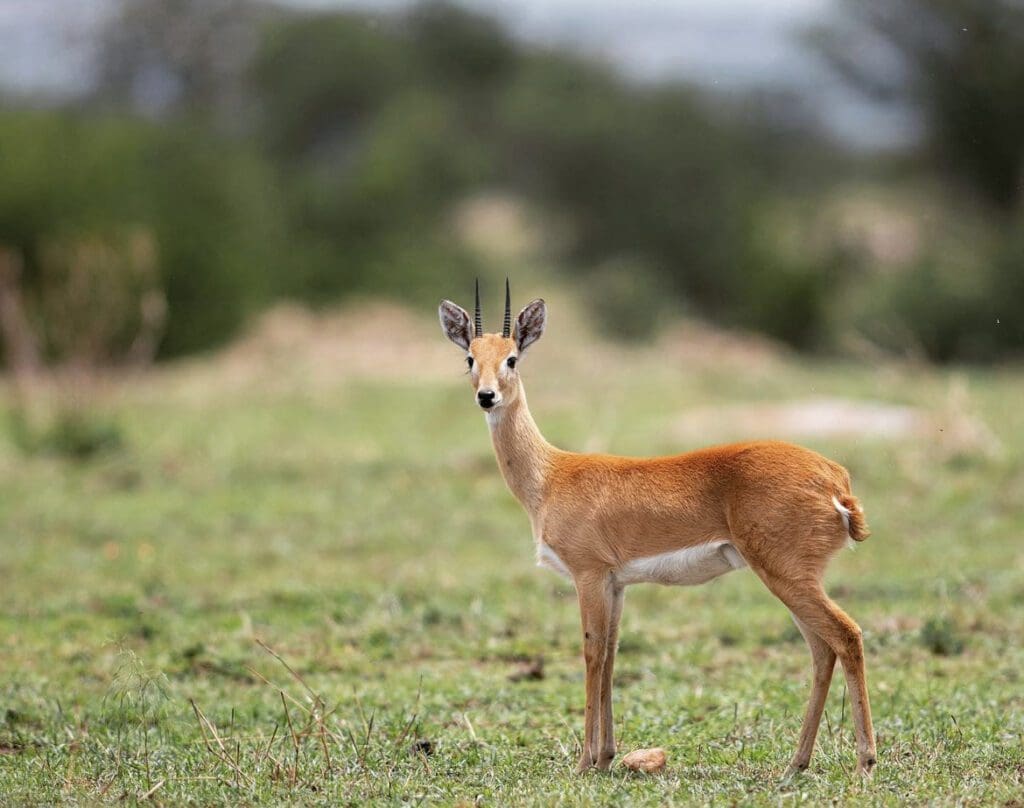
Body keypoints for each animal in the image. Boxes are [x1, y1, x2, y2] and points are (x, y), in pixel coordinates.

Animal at [438, 281, 876, 777]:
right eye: (470, 357)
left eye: (512, 358)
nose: (486, 396)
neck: (550, 476)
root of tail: (836, 480)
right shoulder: (616, 584)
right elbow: (611, 656)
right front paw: (606, 756)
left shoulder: (588, 575)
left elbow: (591, 654)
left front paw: (585, 763)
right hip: (791, 579)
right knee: (822, 649)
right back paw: (795, 765)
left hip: (786, 575)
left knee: (846, 635)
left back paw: (864, 761)